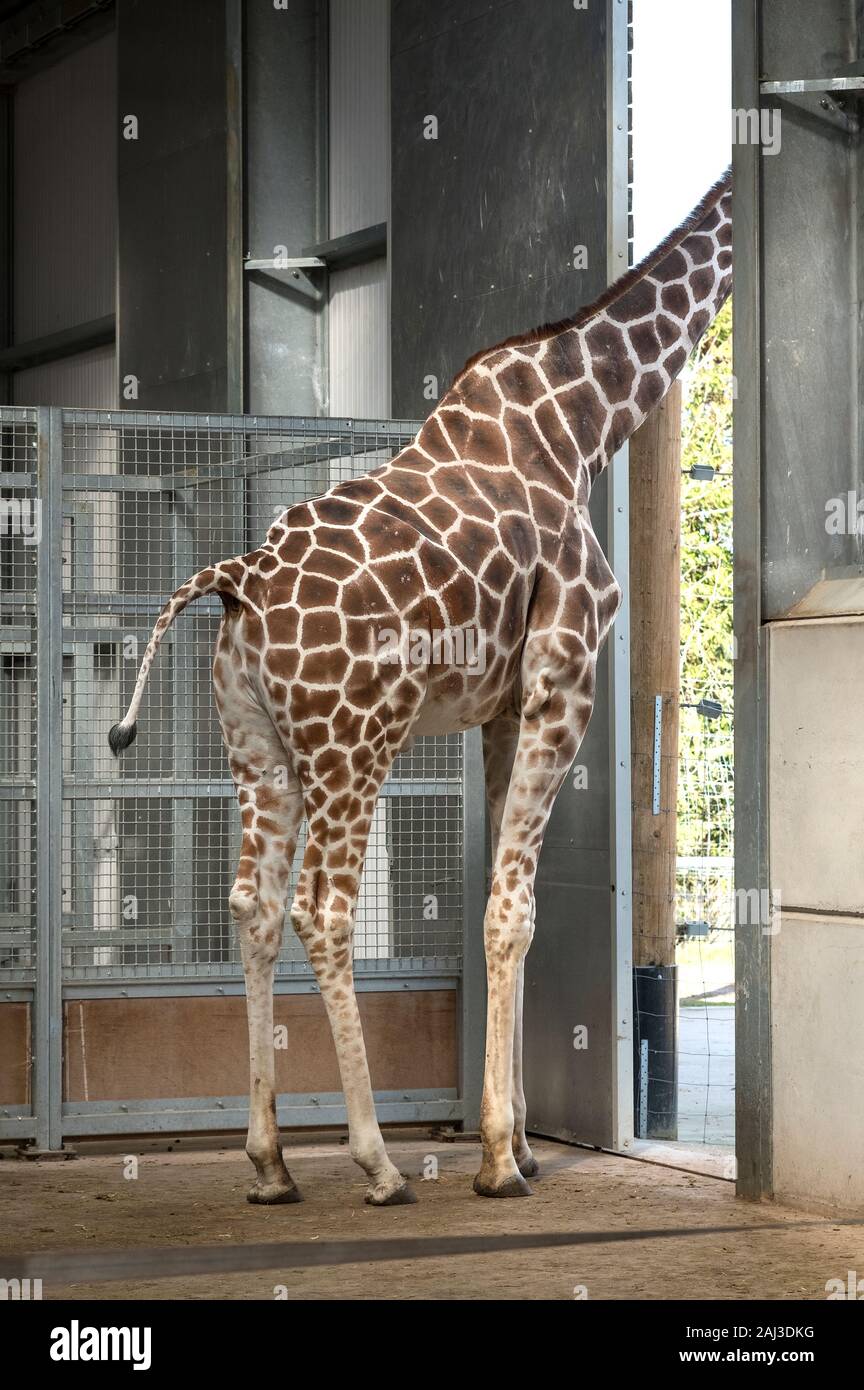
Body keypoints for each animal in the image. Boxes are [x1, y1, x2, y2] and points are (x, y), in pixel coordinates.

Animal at [110, 169, 732, 1205]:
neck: (584, 418)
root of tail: (237, 580)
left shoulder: (503, 707)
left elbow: (507, 905)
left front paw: (518, 1141)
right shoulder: (568, 680)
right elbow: (512, 913)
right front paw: (499, 1159)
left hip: (256, 747)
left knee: (253, 907)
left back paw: (270, 1161)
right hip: (353, 746)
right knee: (322, 910)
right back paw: (376, 1158)